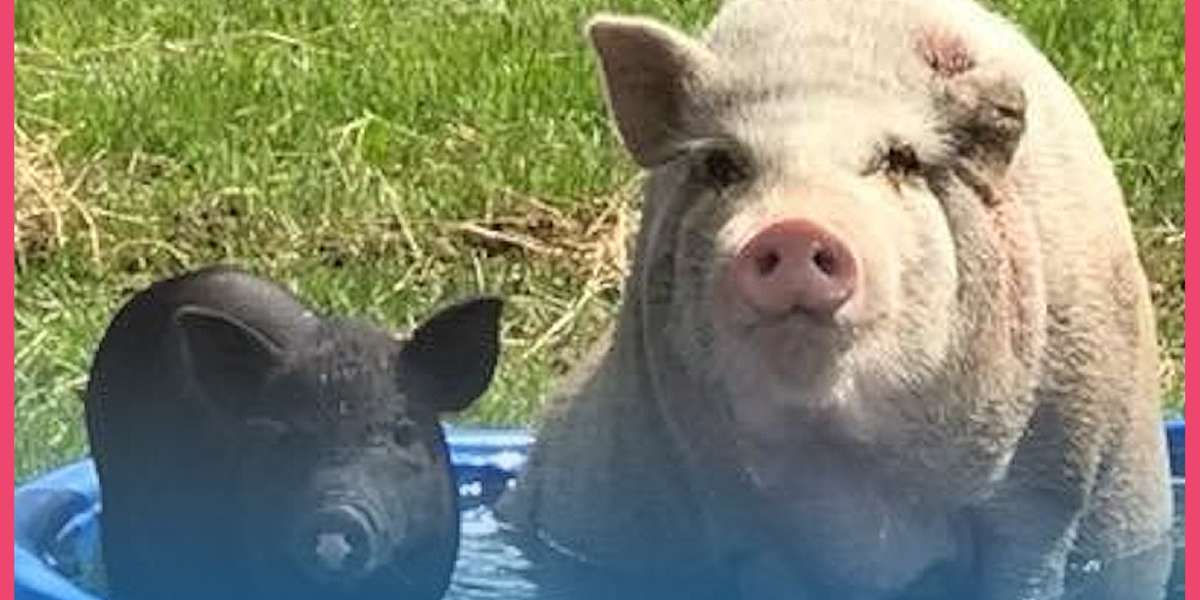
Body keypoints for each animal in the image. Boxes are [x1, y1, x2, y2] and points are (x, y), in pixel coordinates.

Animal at [496, 1, 1174, 599]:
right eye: (722, 165)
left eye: (898, 160)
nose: (793, 227)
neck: (841, 478)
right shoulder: (734, 518)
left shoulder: (1048, 486)